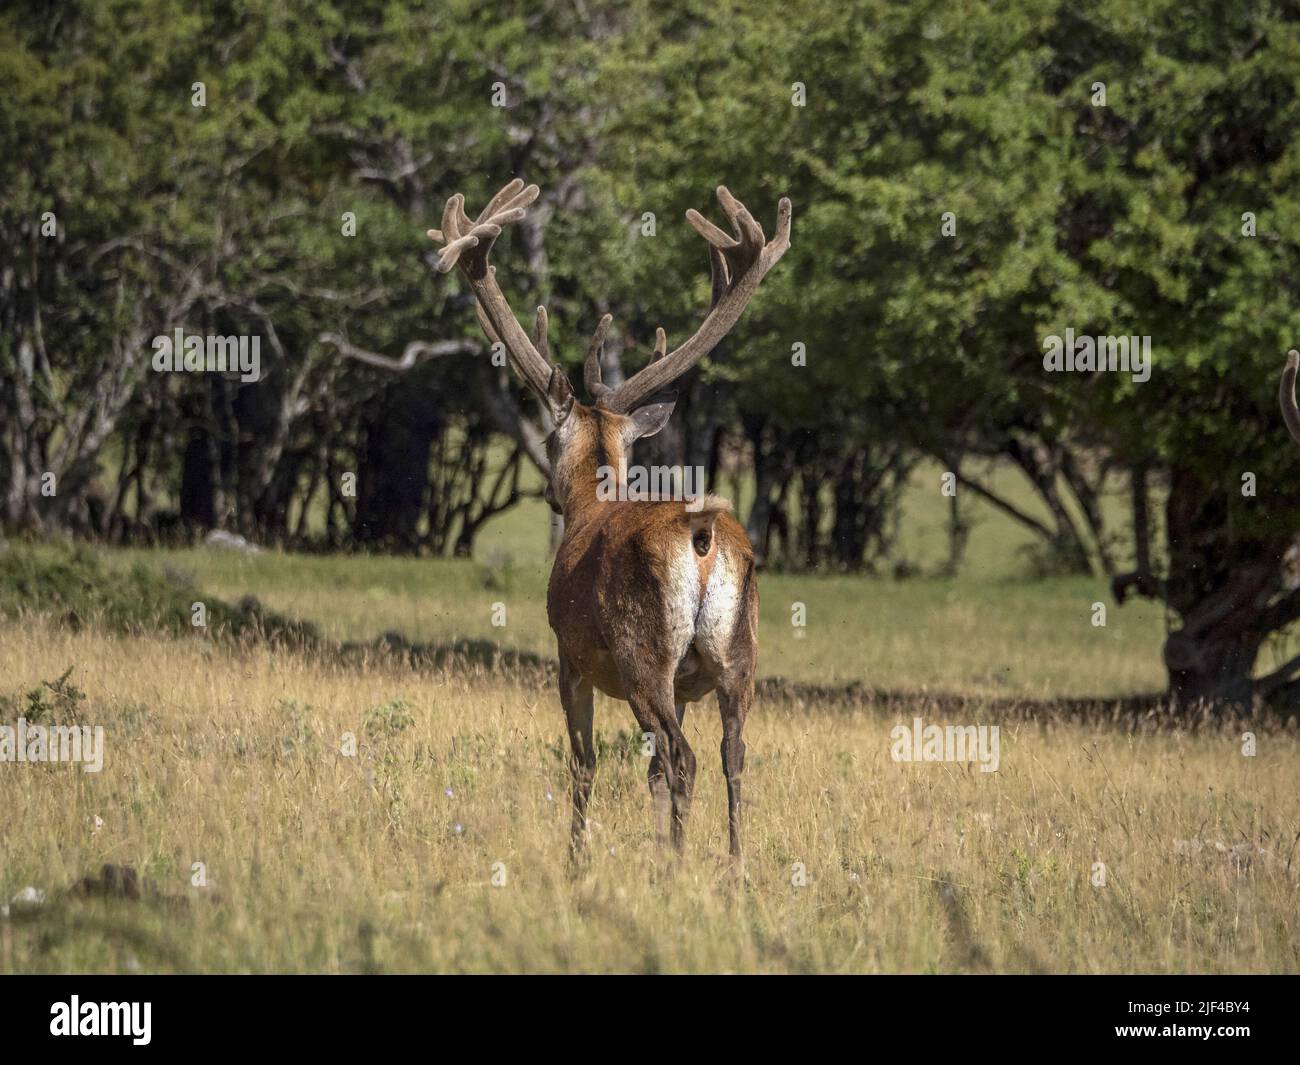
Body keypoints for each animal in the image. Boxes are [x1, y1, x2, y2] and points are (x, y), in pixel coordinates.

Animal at [426, 179, 792, 863]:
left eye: (548, 439)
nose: (549, 495)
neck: (592, 503)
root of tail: (704, 539)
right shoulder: (686, 685)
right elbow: (646, 773)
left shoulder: (570, 656)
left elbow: (584, 763)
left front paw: (577, 860)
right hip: (739, 657)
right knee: (732, 754)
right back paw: (732, 871)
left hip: (641, 652)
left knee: (682, 757)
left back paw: (677, 869)